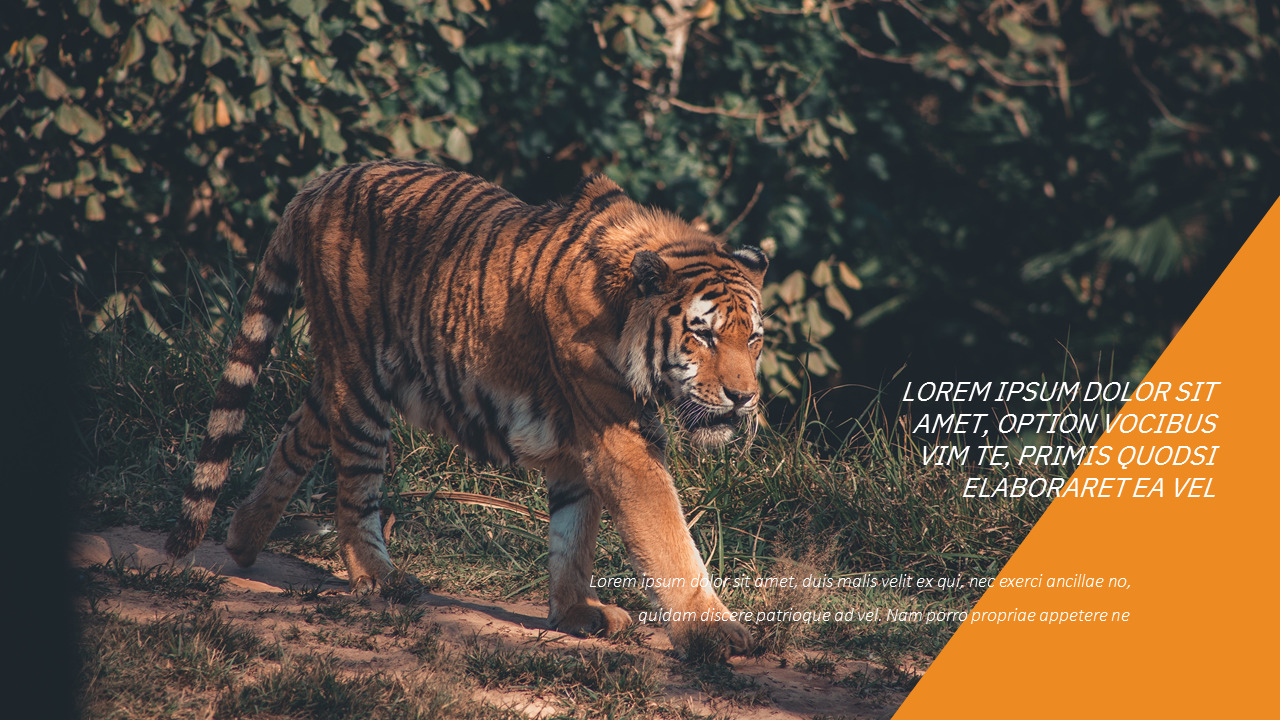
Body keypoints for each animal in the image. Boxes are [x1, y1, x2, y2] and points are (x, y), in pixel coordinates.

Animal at [165, 160, 766, 656]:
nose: (744, 398)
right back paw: (379, 578)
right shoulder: (618, 438)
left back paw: (242, 539)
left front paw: (576, 613)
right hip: (362, 382)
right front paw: (713, 633)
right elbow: (667, 536)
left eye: (754, 339)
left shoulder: (579, 443)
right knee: (354, 489)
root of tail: (321, 183)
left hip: (338, 374)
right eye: (704, 335)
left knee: (296, 435)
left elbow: (573, 531)